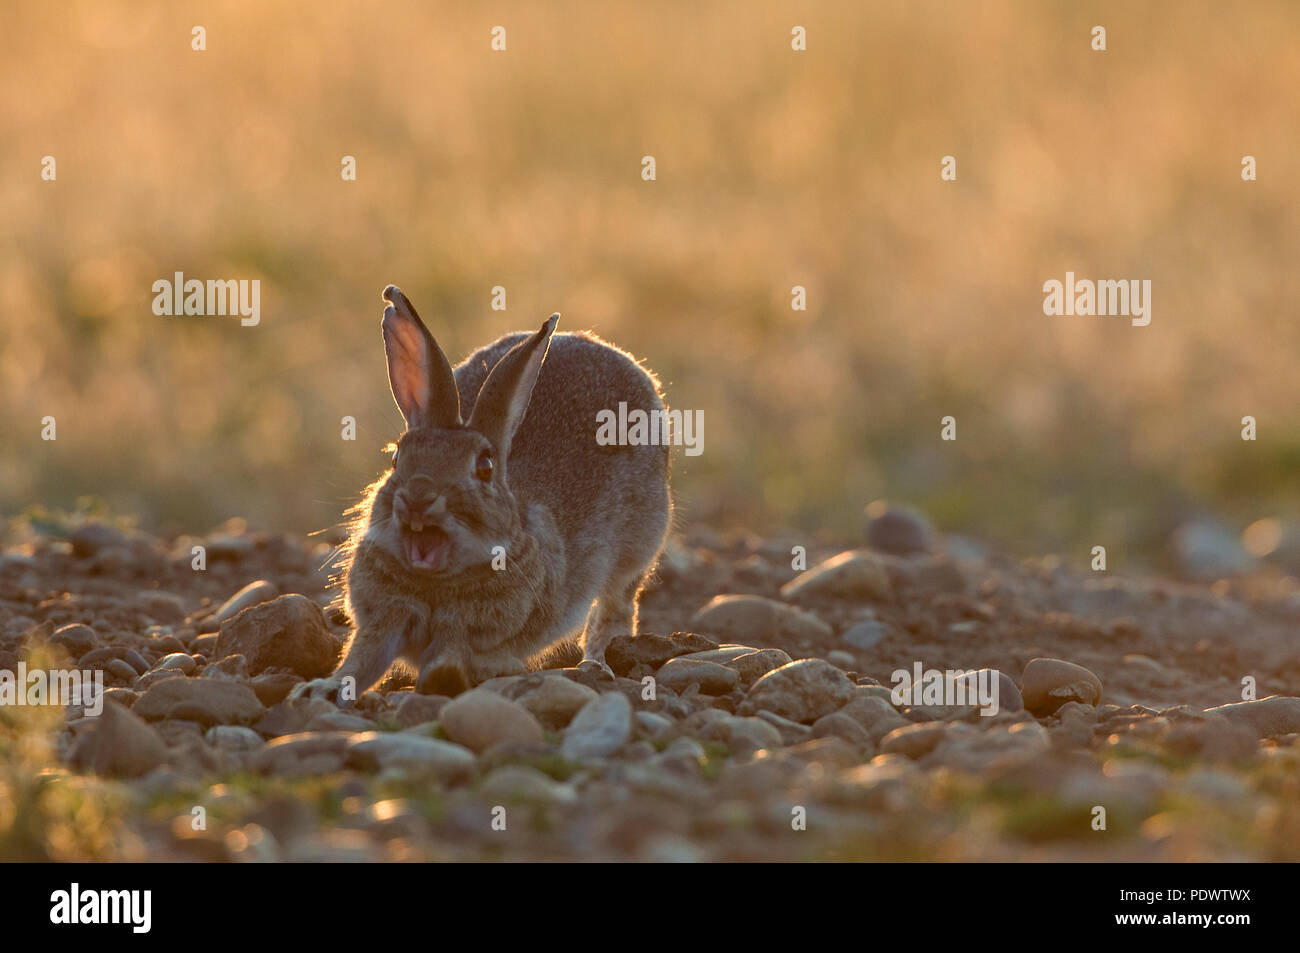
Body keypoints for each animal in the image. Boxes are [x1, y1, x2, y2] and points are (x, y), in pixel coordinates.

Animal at [295, 285, 672, 702]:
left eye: (485, 467)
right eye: (396, 458)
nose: (418, 497)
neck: (436, 583)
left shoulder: (469, 629)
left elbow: (451, 651)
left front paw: (451, 678)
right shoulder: (384, 619)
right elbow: (362, 659)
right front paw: (322, 688)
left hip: (637, 549)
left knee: (616, 607)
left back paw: (598, 664)